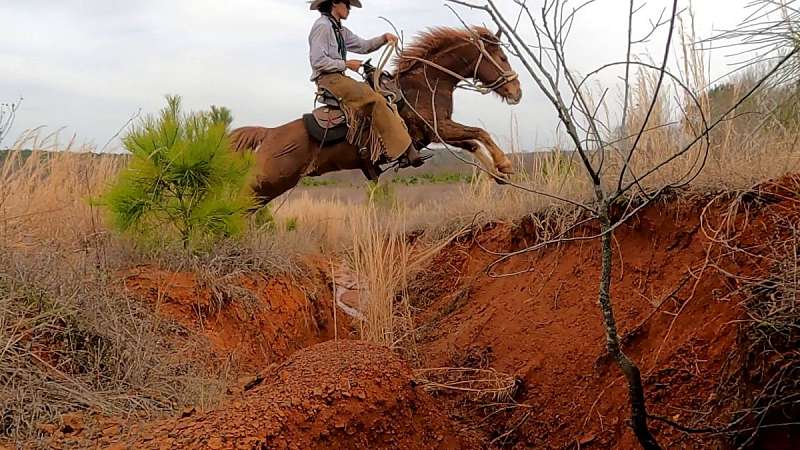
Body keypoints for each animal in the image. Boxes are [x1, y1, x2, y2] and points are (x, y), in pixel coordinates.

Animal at [230, 26, 523, 205]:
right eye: (502, 56)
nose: (516, 91)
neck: (425, 85)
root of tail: (269, 133)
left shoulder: (437, 134)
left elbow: (473, 142)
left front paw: (496, 174)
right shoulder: (438, 128)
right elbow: (479, 133)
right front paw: (505, 165)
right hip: (269, 180)